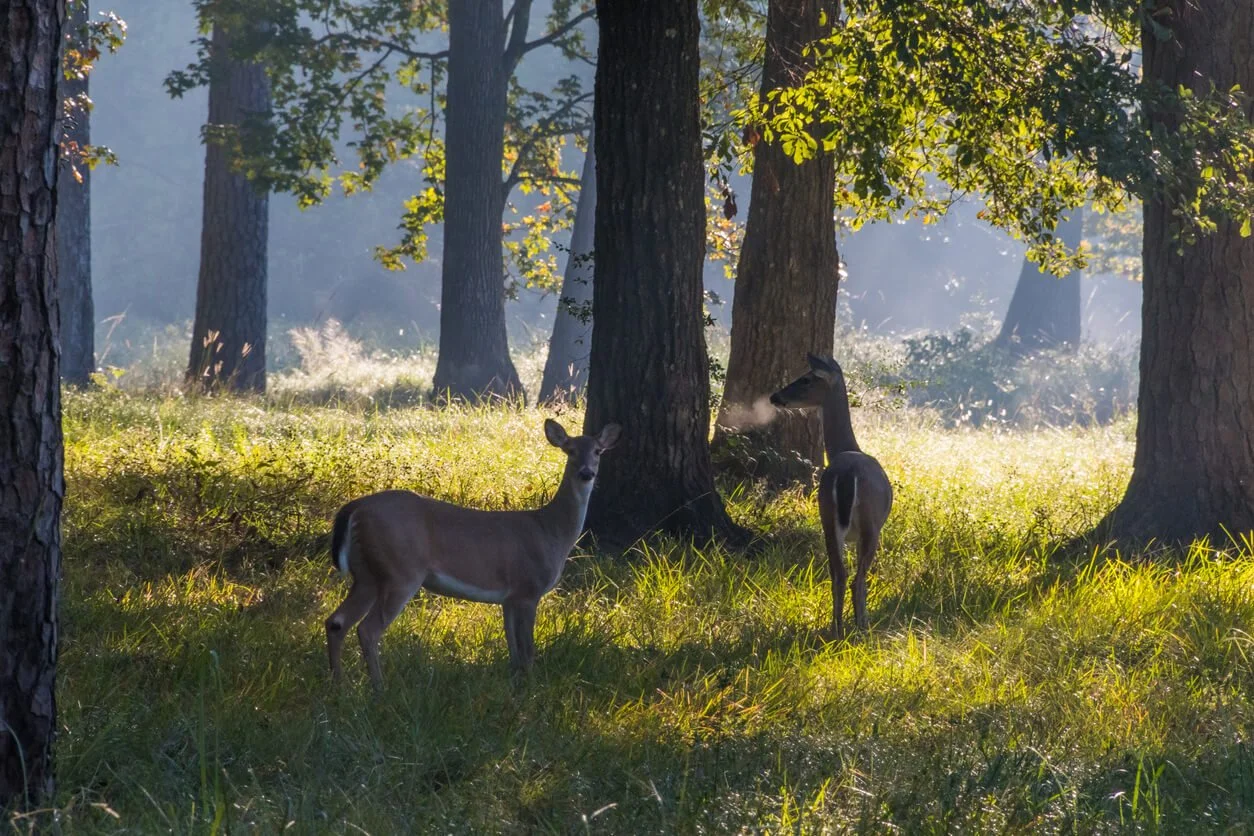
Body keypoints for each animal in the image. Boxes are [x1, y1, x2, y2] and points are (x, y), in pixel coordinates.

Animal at [324, 418, 621, 689]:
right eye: (570, 450)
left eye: (597, 451)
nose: (586, 473)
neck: (550, 531)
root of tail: (356, 509)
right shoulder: (529, 587)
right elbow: (528, 650)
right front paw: (532, 687)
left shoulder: (509, 597)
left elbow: (513, 647)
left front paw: (514, 683)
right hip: (401, 571)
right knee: (368, 629)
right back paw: (379, 688)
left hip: (367, 574)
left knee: (336, 622)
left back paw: (340, 685)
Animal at [769, 354, 892, 640]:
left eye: (806, 378)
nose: (774, 396)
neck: (848, 447)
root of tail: (846, 473)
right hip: (870, 524)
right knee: (857, 578)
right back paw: (860, 628)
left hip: (826, 518)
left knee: (838, 574)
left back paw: (836, 629)